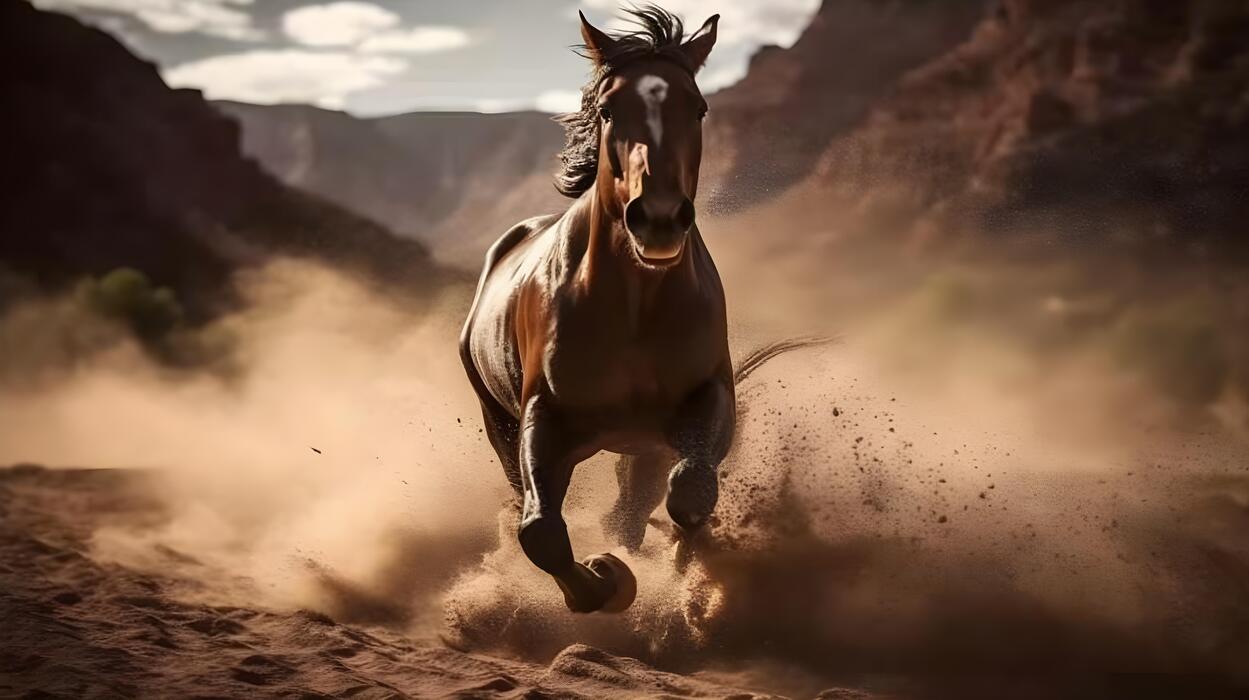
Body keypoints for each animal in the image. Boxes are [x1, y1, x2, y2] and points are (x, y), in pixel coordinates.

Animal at [461, 5, 816, 613]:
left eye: (698, 107)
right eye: (608, 109)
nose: (658, 219)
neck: (634, 309)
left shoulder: (707, 399)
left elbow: (691, 491)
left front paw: (688, 581)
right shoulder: (542, 418)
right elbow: (541, 531)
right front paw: (606, 581)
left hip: (640, 445)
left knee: (632, 507)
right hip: (498, 422)